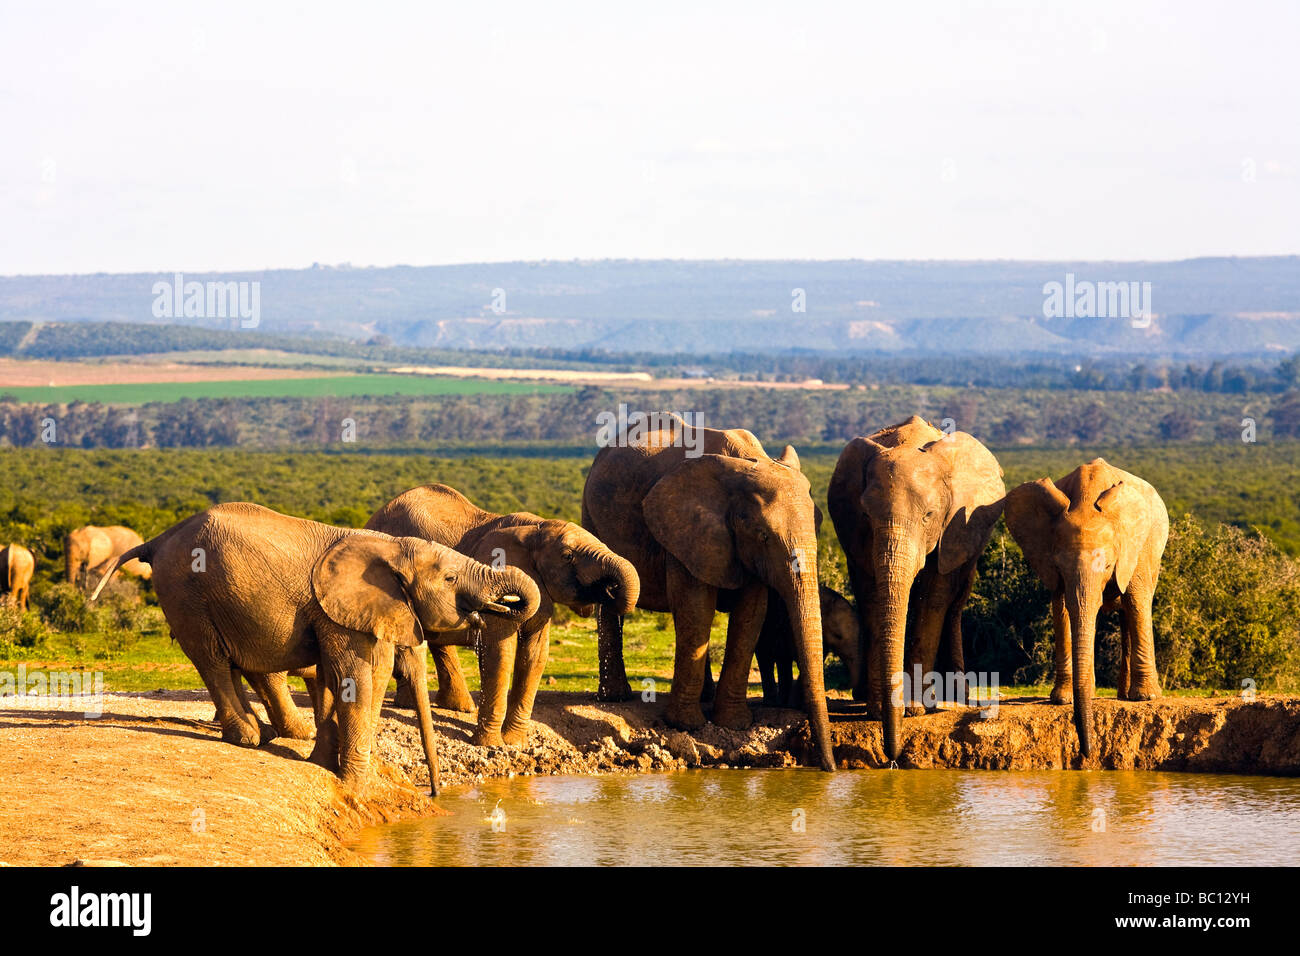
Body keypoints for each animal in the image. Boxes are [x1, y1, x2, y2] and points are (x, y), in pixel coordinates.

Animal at [89, 502, 540, 793]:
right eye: (449, 578)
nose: (434, 793)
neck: (392, 547)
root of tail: (158, 539)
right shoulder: (338, 609)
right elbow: (354, 676)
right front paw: (356, 785)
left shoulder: (337, 613)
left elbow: (335, 676)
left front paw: (327, 764)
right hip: (185, 592)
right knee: (212, 659)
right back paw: (248, 738)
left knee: (232, 660)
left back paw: (265, 733)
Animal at [365, 483, 640, 747]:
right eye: (568, 556)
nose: (609, 589)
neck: (535, 528)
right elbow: (500, 653)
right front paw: (489, 744)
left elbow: (535, 656)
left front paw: (514, 742)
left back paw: (456, 707)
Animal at [582, 415, 836, 772]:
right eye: (763, 535)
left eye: (820, 525)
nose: (830, 769)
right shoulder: (688, 529)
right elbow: (698, 606)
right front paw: (686, 726)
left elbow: (750, 615)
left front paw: (734, 724)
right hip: (590, 514)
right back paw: (616, 697)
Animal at [828, 416, 1005, 761]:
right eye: (866, 515)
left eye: (928, 516)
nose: (892, 756)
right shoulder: (857, 534)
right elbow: (871, 597)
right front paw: (879, 710)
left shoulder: (953, 525)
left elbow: (934, 597)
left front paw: (912, 710)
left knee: (956, 601)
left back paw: (958, 697)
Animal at [1004, 458, 1168, 757]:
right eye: (1059, 566)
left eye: (1107, 565)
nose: (1087, 752)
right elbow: (1062, 609)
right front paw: (1063, 700)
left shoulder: (1134, 547)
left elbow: (1137, 599)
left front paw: (1146, 698)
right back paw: (1118, 694)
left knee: (1133, 607)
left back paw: (1129, 696)